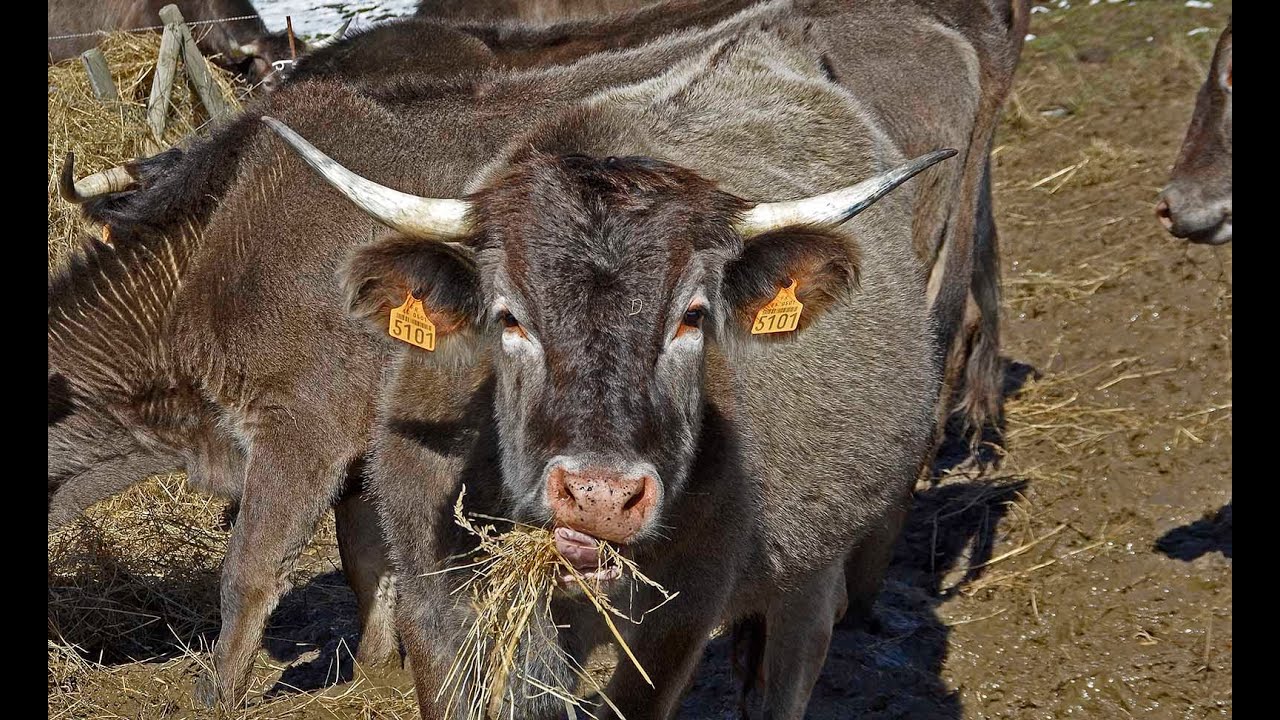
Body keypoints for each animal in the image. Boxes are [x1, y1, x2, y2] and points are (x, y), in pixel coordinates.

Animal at [264, 21, 947, 718]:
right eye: (509, 316)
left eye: (692, 316)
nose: (601, 497)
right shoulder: (433, 603)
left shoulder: (678, 618)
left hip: (816, 557)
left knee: (800, 644)